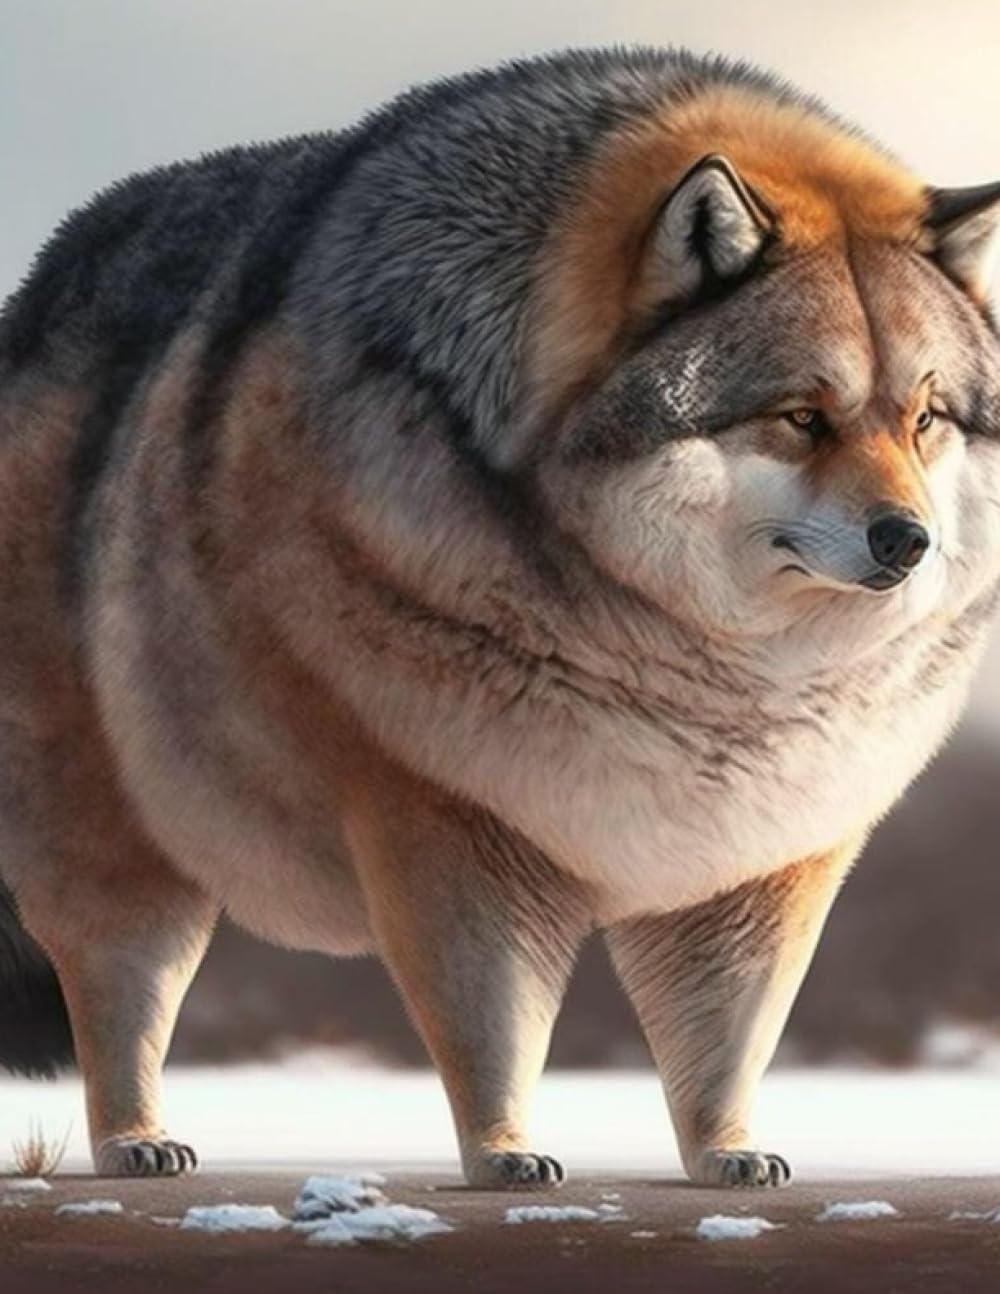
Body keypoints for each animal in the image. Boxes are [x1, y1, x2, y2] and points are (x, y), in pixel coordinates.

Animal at [1, 45, 999, 1189]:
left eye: (924, 418)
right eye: (802, 417)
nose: (906, 540)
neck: (710, 678)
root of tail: (34, 292)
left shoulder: (757, 871)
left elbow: (728, 1042)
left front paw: (729, 1156)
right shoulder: (447, 833)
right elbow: (493, 1027)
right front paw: (506, 1156)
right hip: (120, 848)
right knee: (121, 990)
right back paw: (136, 1142)